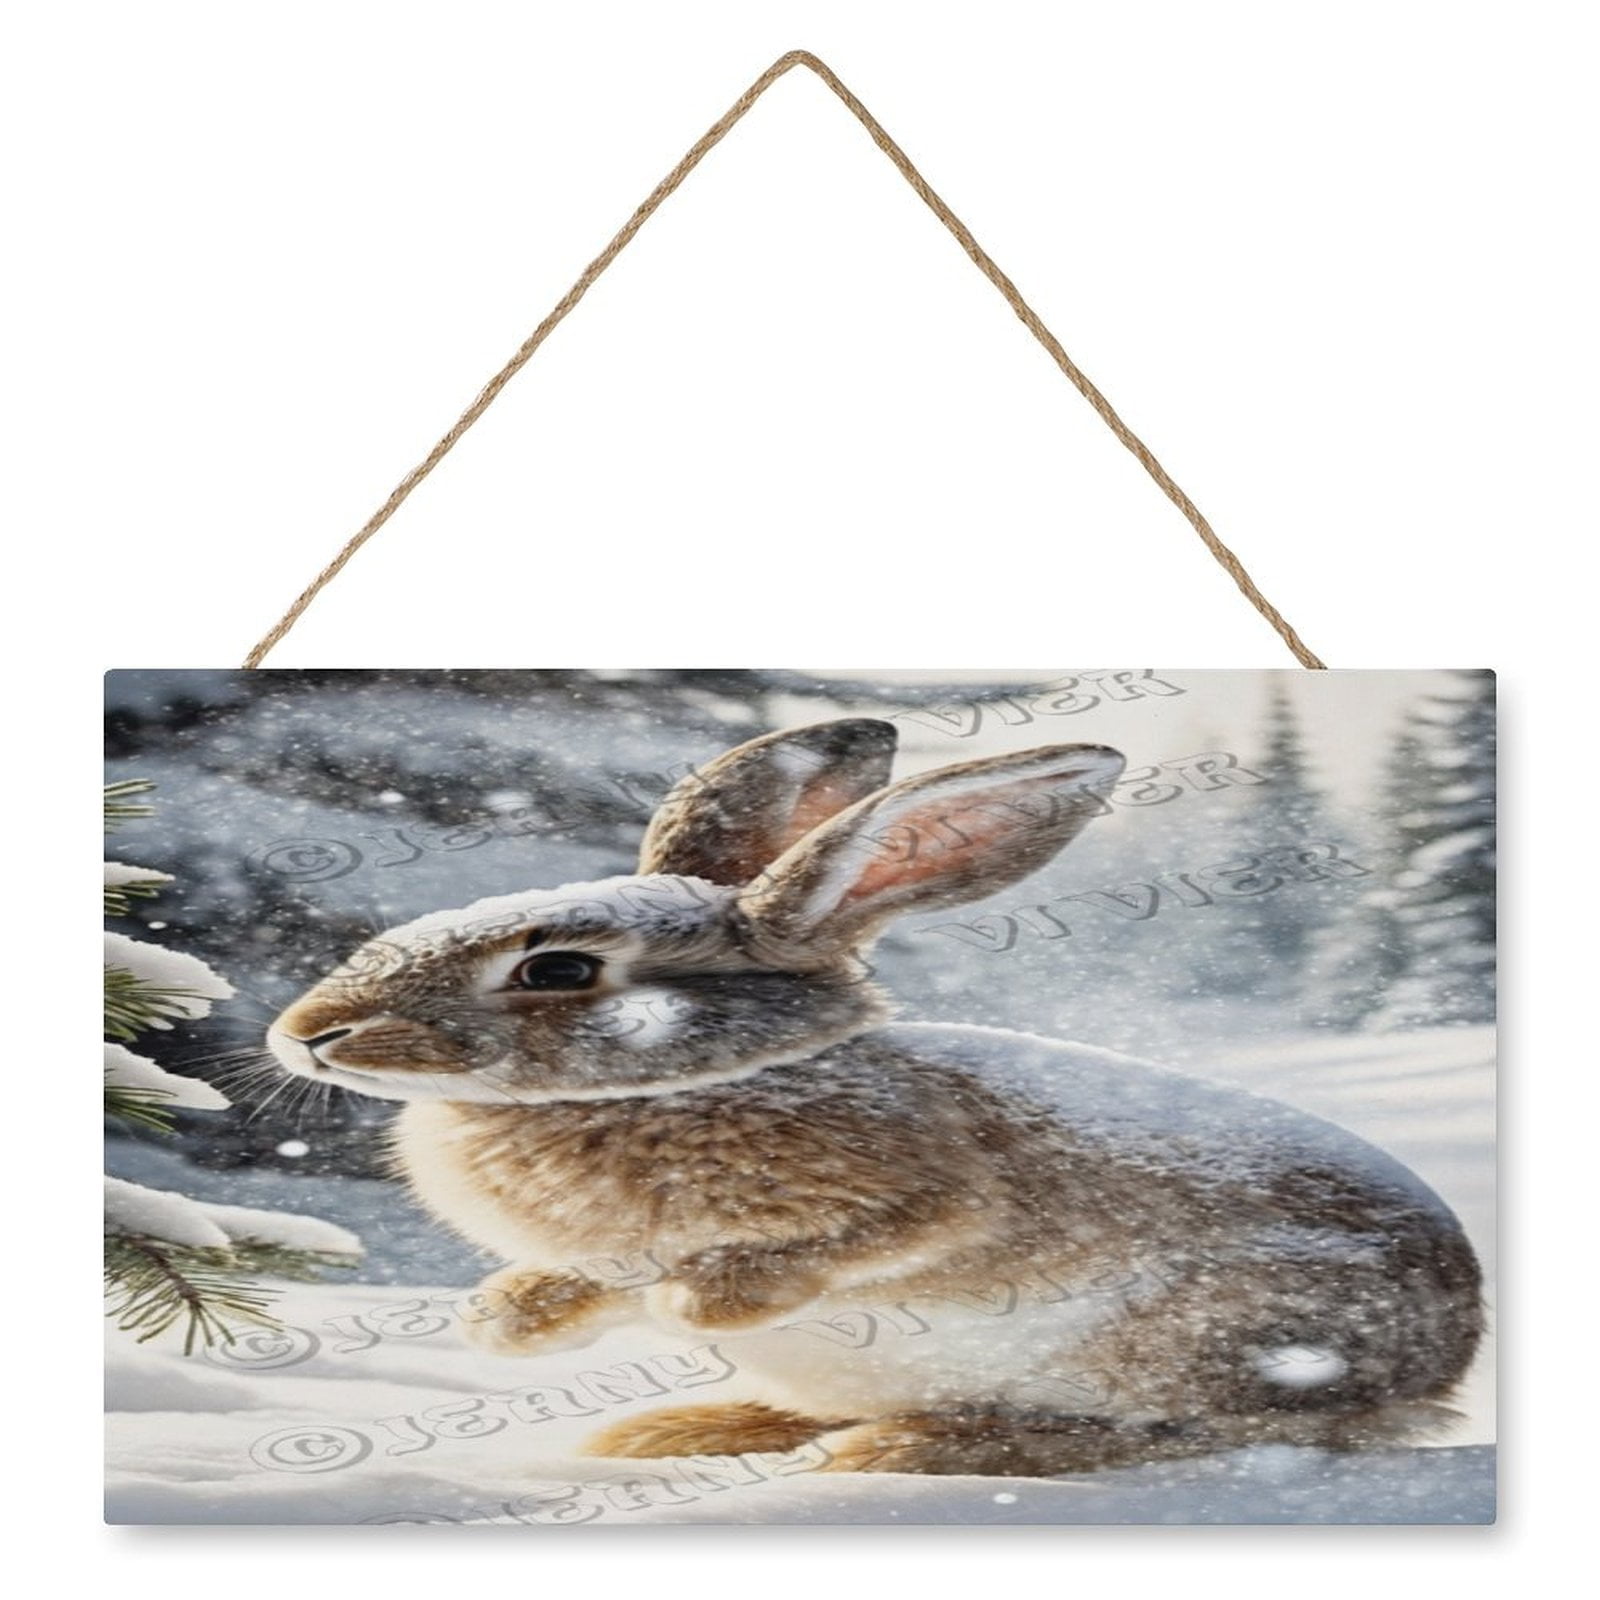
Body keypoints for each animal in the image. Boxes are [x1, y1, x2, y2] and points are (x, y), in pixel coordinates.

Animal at [267, 717, 1483, 1476]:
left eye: (558, 970)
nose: (306, 1034)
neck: (705, 1075)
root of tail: (1446, 1364)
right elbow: (587, 1285)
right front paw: (508, 1322)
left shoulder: (939, 1190)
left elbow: (878, 1235)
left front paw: (703, 1302)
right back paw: (683, 1429)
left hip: (1214, 1342)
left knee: (1196, 1433)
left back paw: (899, 1448)